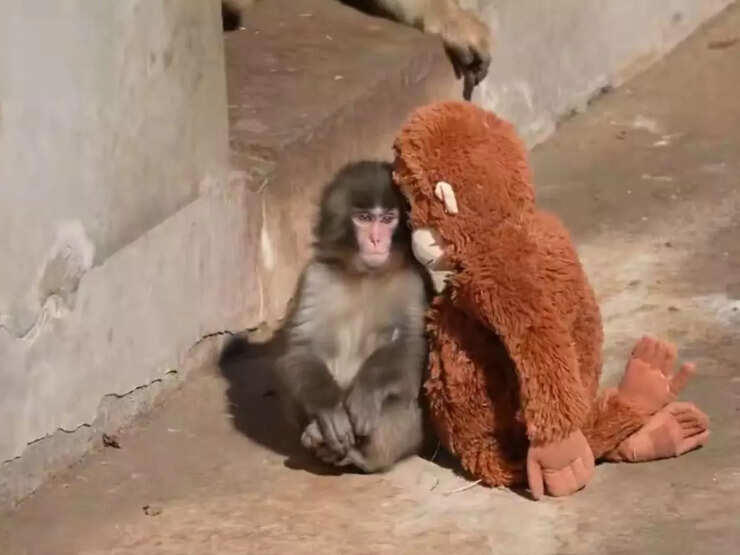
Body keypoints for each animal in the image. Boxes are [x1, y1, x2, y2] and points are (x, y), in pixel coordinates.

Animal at [273, 161, 429, 472]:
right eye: (364, 218)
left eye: (388, 219)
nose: (376, 239)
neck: (365, 275)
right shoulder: (315, 278)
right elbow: (300, 350)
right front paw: (330, 408)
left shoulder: (412, 281)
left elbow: (411, 346)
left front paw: (367, 392)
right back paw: (317, 435)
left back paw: (362, 457)